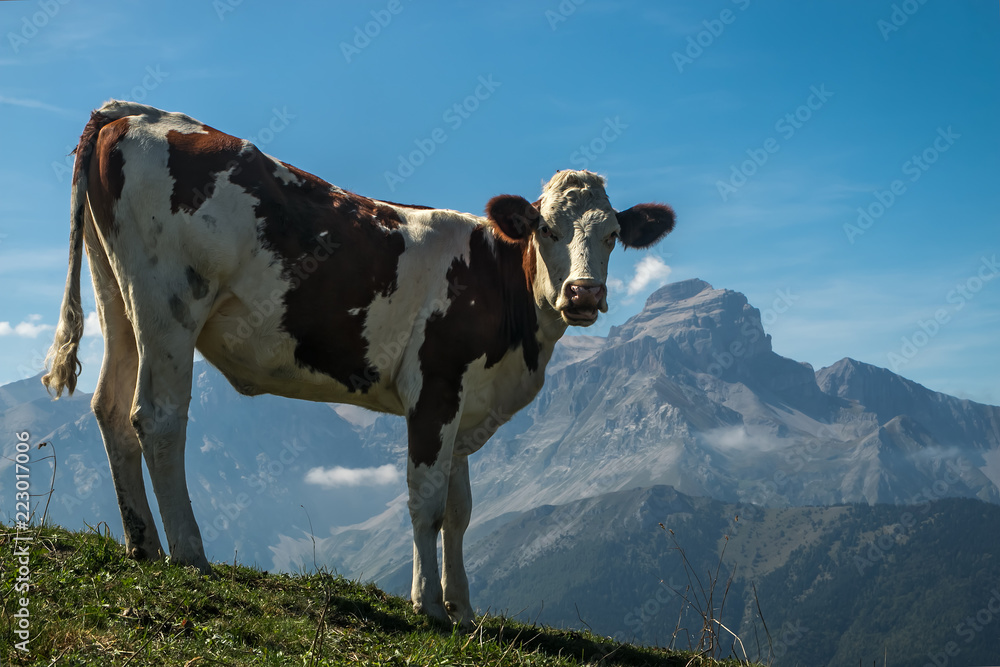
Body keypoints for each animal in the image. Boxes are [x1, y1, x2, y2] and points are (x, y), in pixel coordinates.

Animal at [43, 100, 675, 626]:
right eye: (547, 228)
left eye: (613, 234)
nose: (585, 293)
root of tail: (133, 111)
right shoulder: (435, 386)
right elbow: (426, 502)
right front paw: (430, 607)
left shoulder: (465, 403)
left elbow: (460, 510)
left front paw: (464, 609)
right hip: (169, 304)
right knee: (157, 417)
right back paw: (190, 553)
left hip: (118, 295)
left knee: (110, 408)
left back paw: (143, 544)